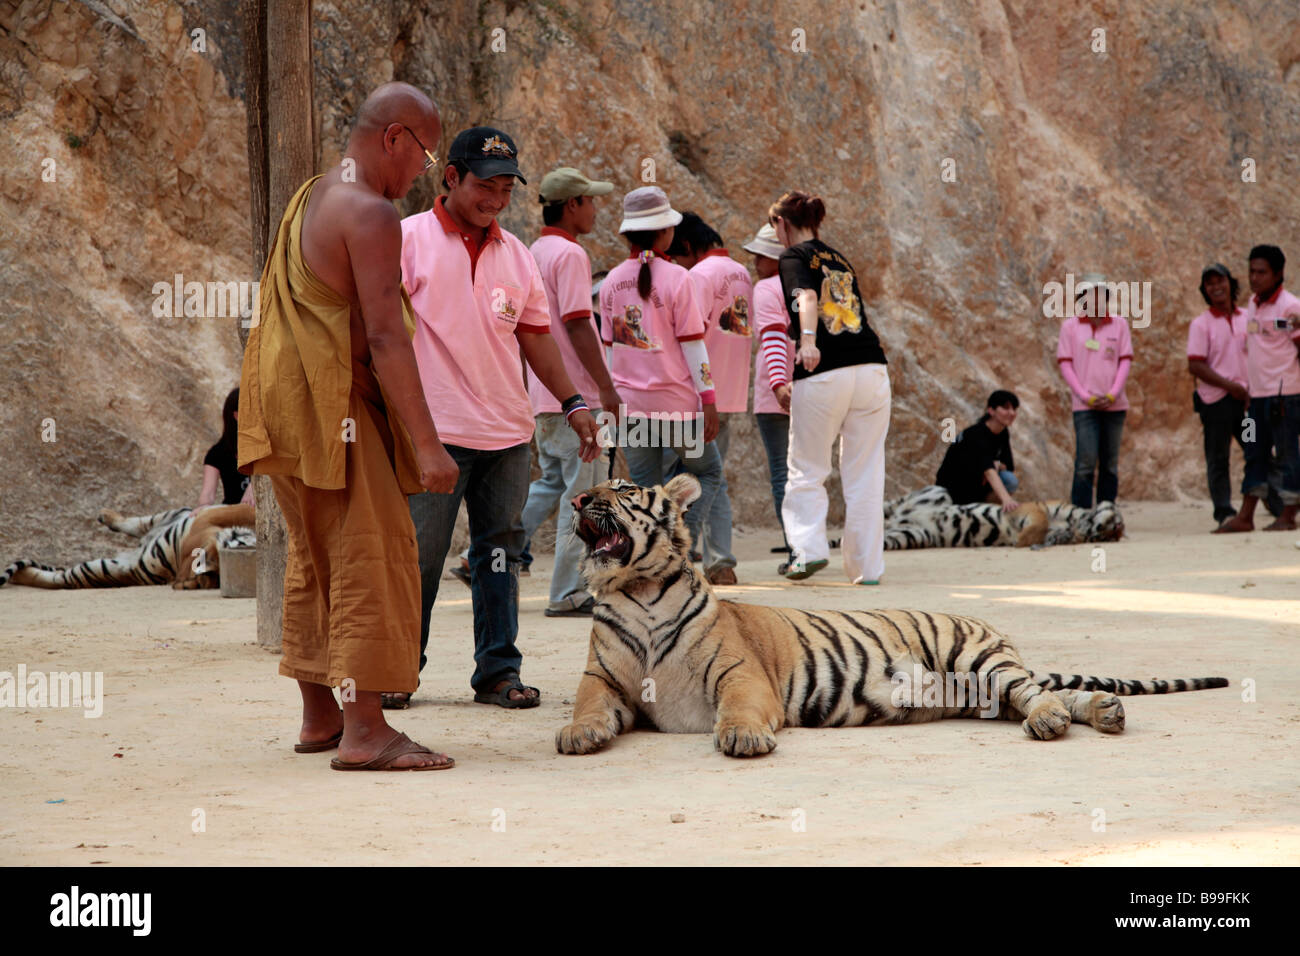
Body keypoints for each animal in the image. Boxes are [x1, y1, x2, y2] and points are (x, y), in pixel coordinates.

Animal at [883, 485, 1123, 549]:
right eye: (1116, 523)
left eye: (1111, 535)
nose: (1109, 529)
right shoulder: (1030, 508)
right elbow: (1041, 520)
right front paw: (1021, 540)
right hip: (939, 491)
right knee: (887, 504)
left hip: (910, 535)